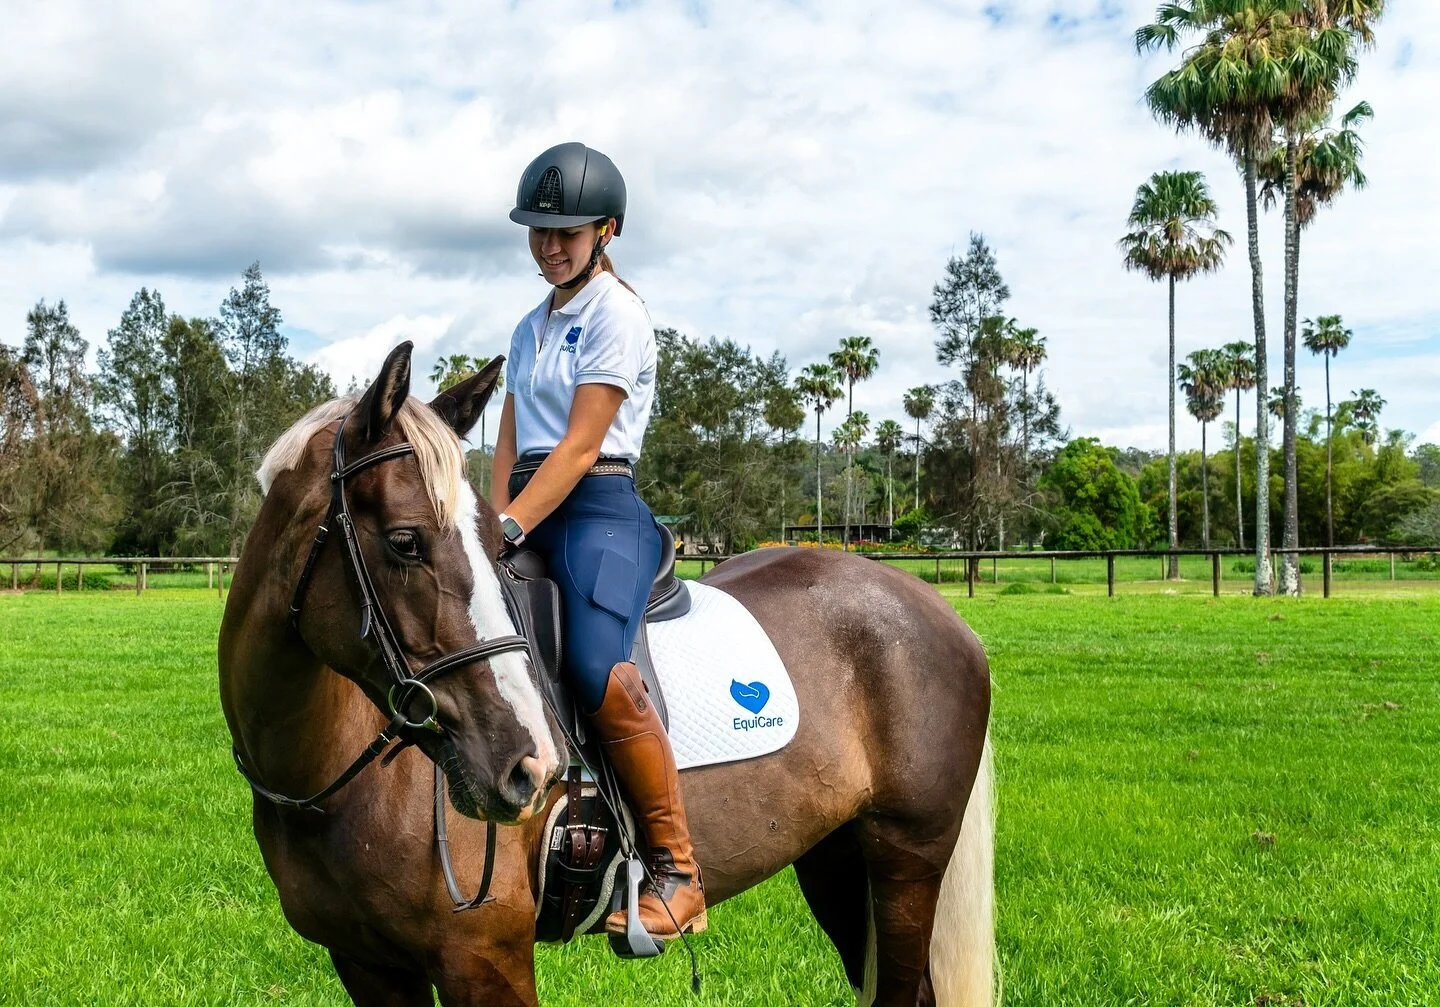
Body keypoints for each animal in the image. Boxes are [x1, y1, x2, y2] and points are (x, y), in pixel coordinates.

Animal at [218, 341, 995, 1007]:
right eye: (406, 541)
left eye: (491, 540)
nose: (530, 766)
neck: (327, 778)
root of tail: (930, 605)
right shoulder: (367, 966)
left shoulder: (483, 959)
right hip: (836, 860)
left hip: (905, 859)